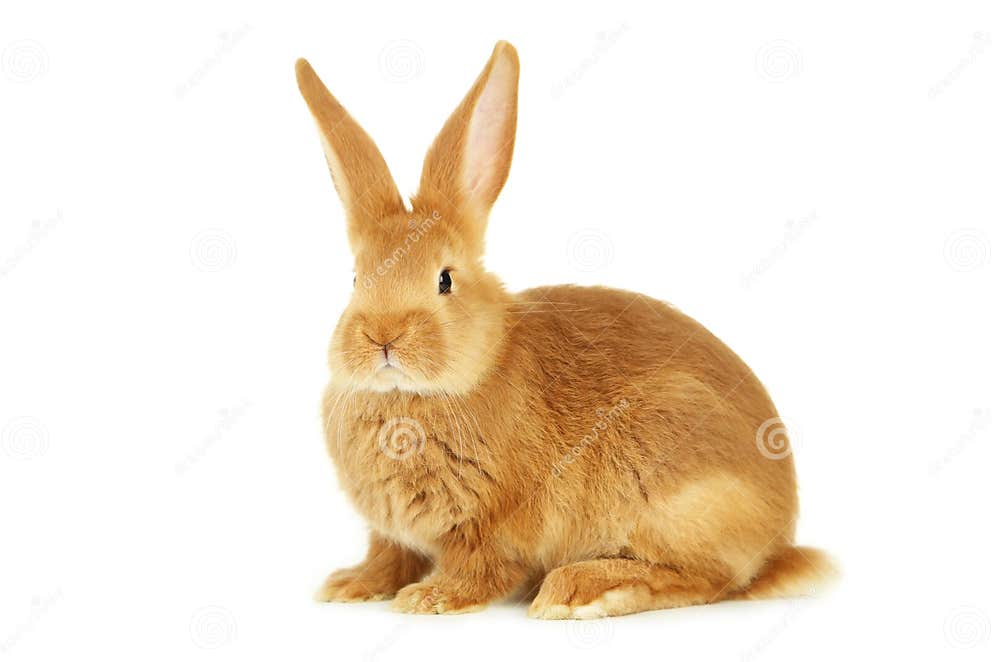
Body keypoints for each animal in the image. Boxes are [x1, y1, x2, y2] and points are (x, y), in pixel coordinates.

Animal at [296, 41, 835, 619]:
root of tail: (780, 538)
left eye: (444, 279)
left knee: (708, 577)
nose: (383, 337)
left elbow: (479, 567)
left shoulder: (489, 524)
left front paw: (430, 598)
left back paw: (580, 589)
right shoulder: (391, 532)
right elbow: (388, 554)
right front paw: (351, 584)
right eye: (355, 278)